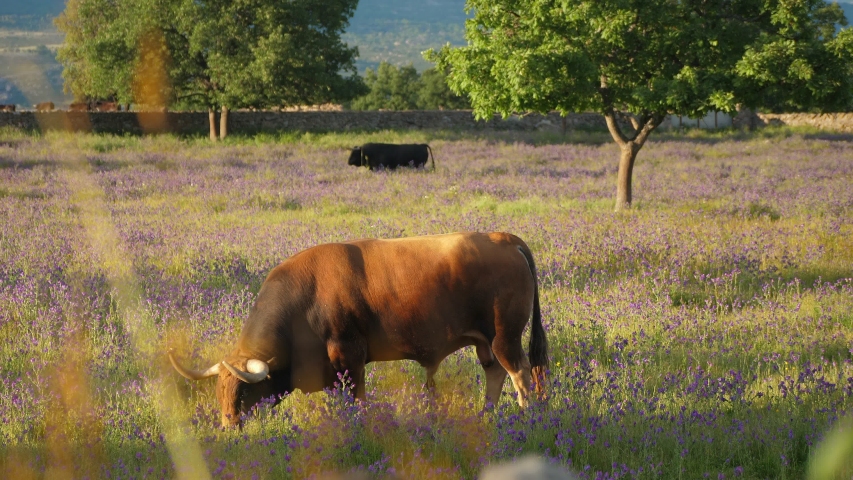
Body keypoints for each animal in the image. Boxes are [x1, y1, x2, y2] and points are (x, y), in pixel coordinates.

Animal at [168, 231, 548, 428]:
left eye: (243, 392)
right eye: (219, 391)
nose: (229, 425)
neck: (304, 300)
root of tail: (502, 238)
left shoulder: (349, 356)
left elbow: (356, 399)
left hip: (504, 337)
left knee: (520, 374)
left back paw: (525, 415)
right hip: (485, 343)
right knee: (495, 374)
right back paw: (487, 415)